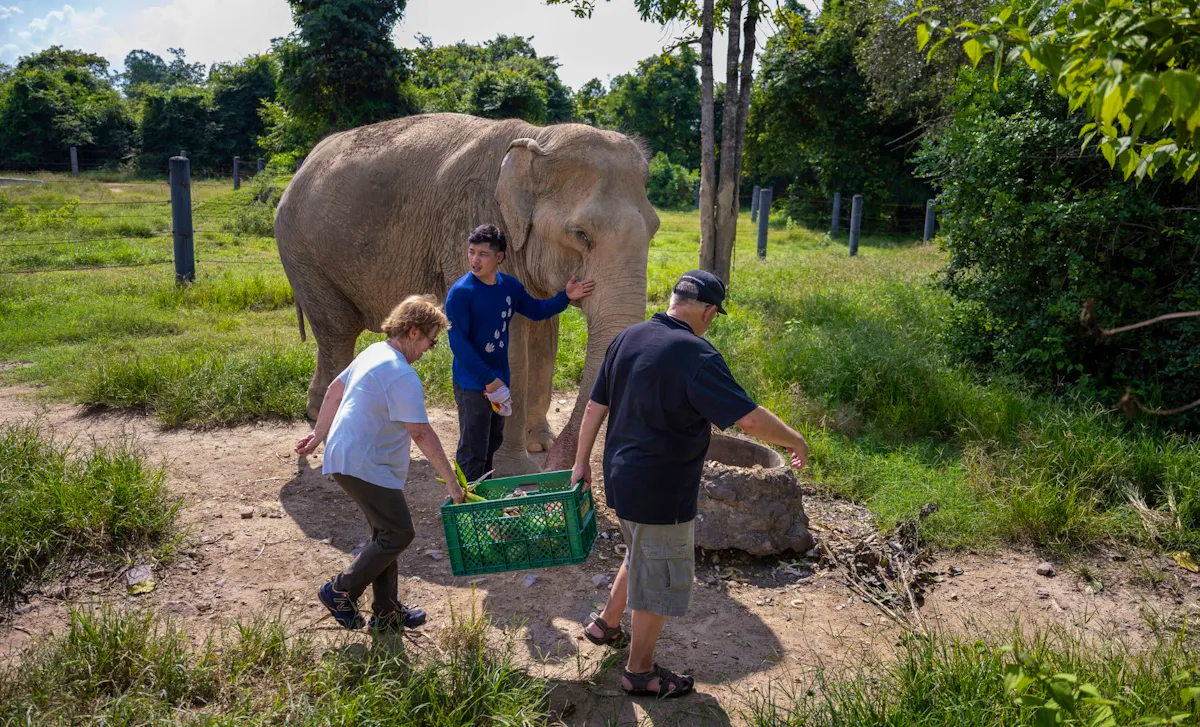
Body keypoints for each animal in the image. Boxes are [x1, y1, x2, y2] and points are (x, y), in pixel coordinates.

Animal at [274, 113, 658, 475]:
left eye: (654, 228)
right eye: (580, 234)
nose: (559, 467)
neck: (538, 135)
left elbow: (543, 330)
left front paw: (539, 446)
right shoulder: (470, 219)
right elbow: (514, 346)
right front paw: (519, 472)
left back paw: (316, 411)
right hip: (302, 253)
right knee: (337, 331)